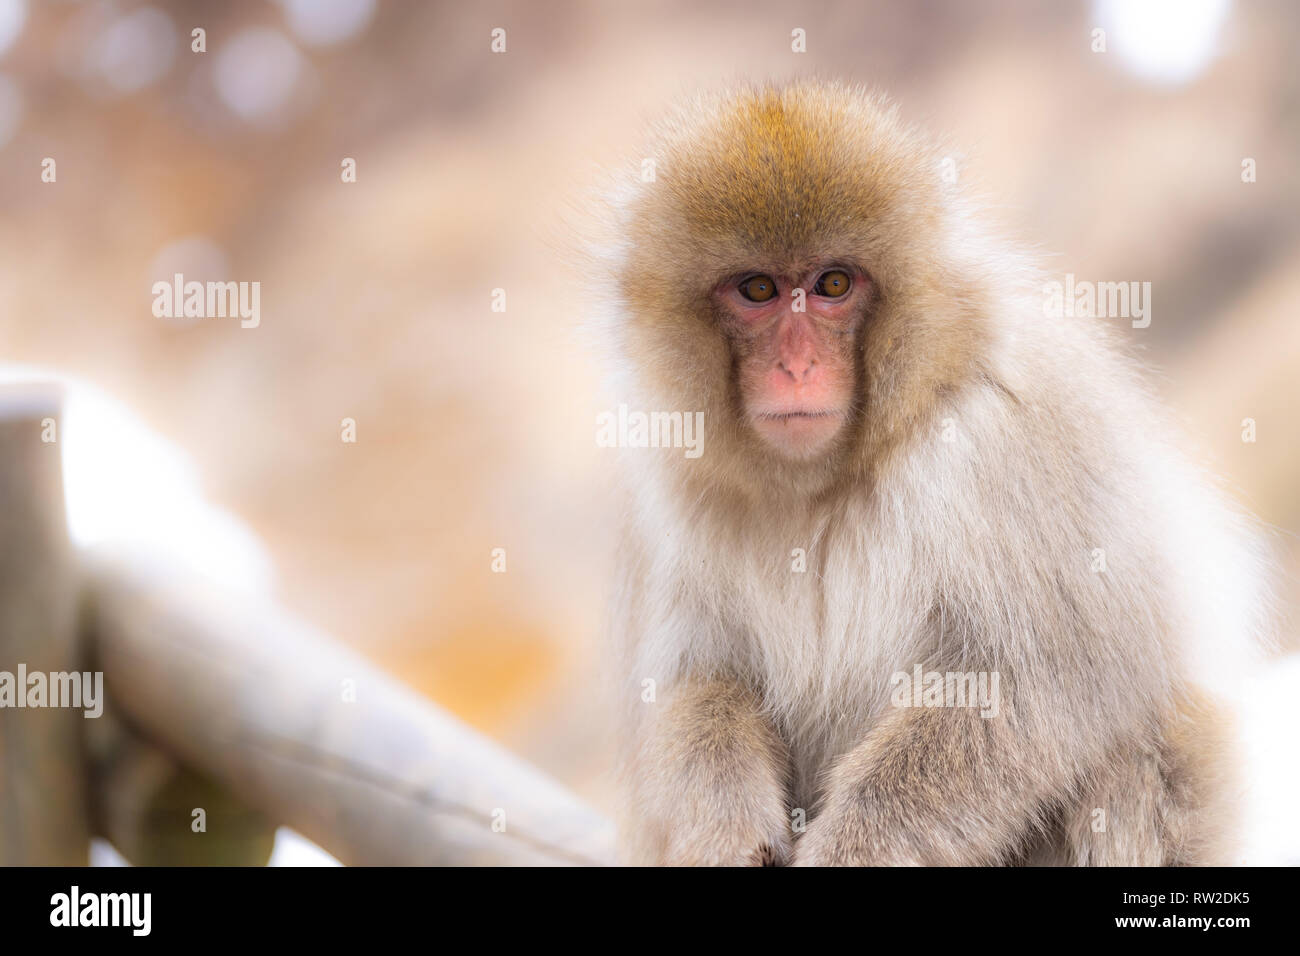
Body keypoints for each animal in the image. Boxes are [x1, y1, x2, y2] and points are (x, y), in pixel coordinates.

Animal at [596, 80, 1272, 866]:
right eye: (758, 290)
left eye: (832, 283)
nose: (796, 366)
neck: (828, 480)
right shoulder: (669, 486)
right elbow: (694, 681)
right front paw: (726, 831)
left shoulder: (1008, 431)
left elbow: (1031, 687)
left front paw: (848, 851)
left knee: (1141, 751)